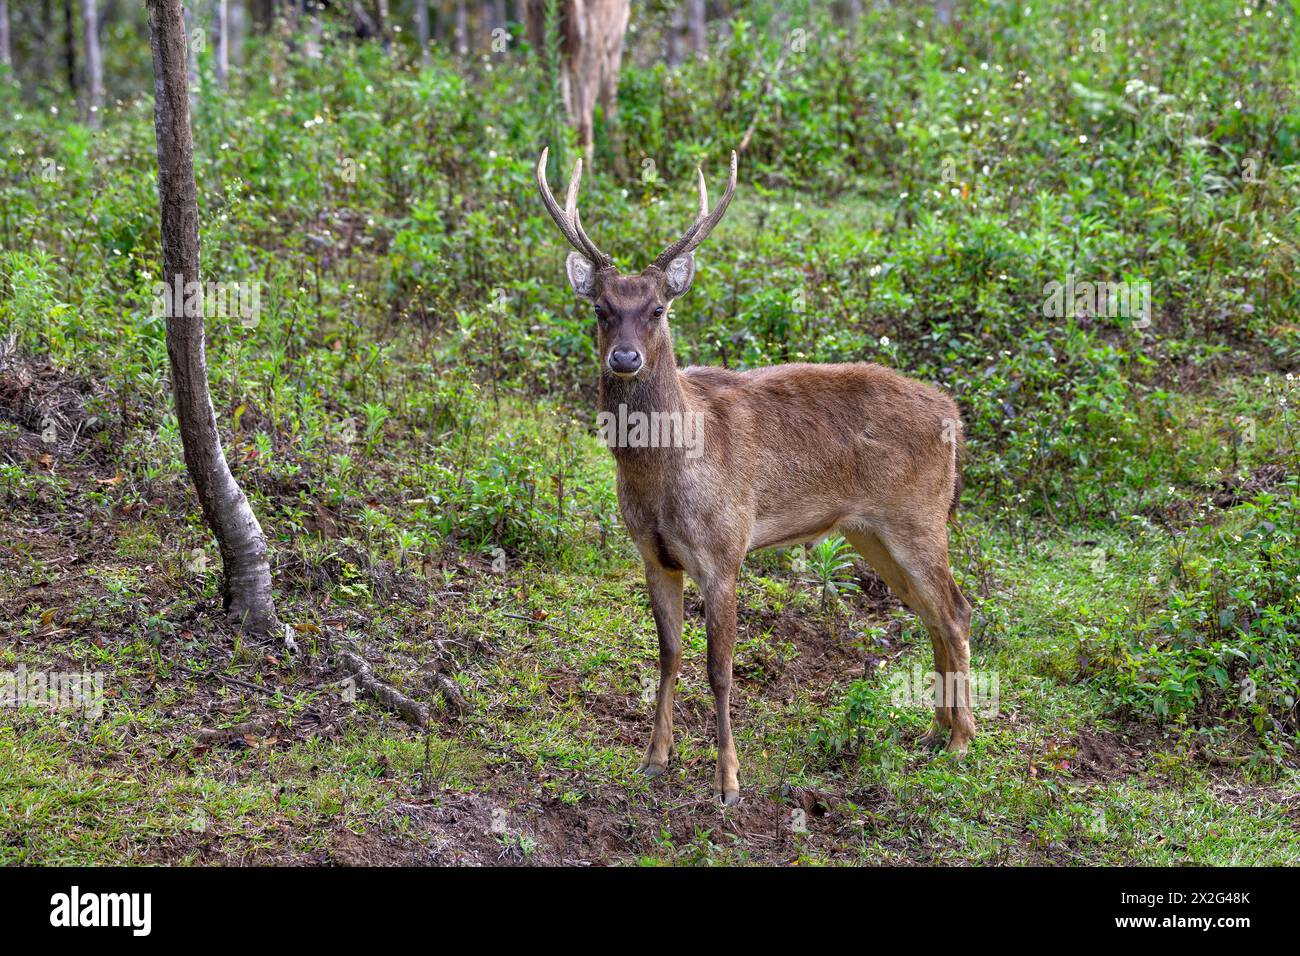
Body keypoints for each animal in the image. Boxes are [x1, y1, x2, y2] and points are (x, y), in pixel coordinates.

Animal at [535, 148, 976, 806]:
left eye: (658, 309)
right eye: (601, 308)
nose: (625, 357)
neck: (665, 475)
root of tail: (955, 416)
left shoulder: (724, 549)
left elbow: (720, 670)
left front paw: (728, 782)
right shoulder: (653, 553)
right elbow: (667, 654)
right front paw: (655, 759)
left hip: (918, 516)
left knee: (956, 610)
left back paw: (961, 742)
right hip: (871, 531)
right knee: (930, 613)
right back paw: (932, 732)